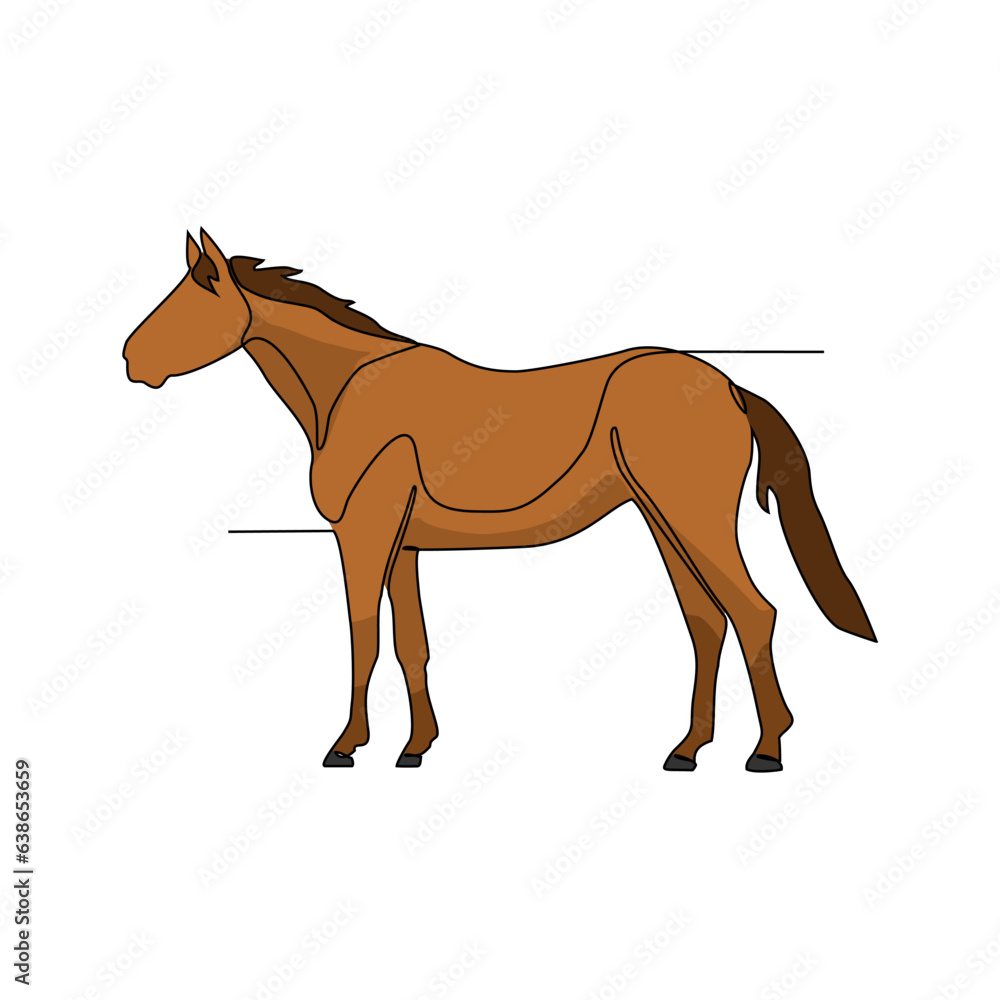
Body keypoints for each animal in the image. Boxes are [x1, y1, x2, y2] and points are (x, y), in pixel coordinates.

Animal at [122, 230, 876, 773]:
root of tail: (727, 386)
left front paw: (346, 745)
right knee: (707, 622)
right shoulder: (404, 545)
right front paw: (415, 747)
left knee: (752, 614)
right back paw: (688, 750)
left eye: (191, 300)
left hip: (693, 521)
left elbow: (364, 636)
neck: (348, 390)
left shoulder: (362, 536)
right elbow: (410, 643)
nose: (131, 360)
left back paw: (766, 751)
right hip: (665, 523)